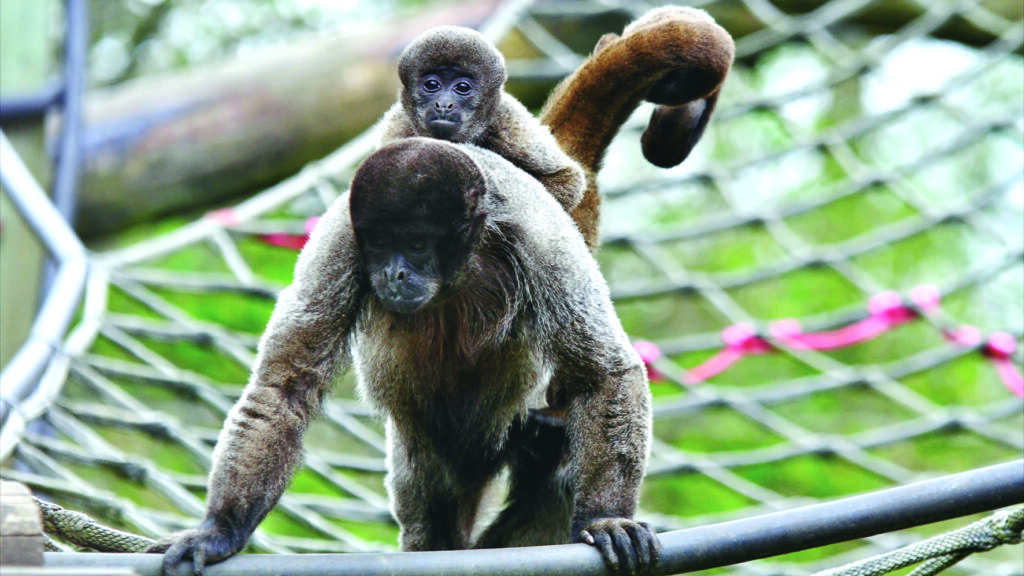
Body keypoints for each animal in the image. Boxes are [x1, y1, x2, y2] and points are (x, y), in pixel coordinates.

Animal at [146, 137, 658, 575]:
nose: (393, 273)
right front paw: (219, 531)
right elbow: (285, 386)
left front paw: (604, 518)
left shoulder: (542, 240)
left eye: (415, 244)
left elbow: (605, 373)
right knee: (430, 512)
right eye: (379, 244)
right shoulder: (342, 238)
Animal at [377, 25, 587, 214]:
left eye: (462, 87)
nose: (443, 104)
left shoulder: (510, 121)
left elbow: (567, 177)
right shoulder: (398, 127)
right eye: (432, 85)